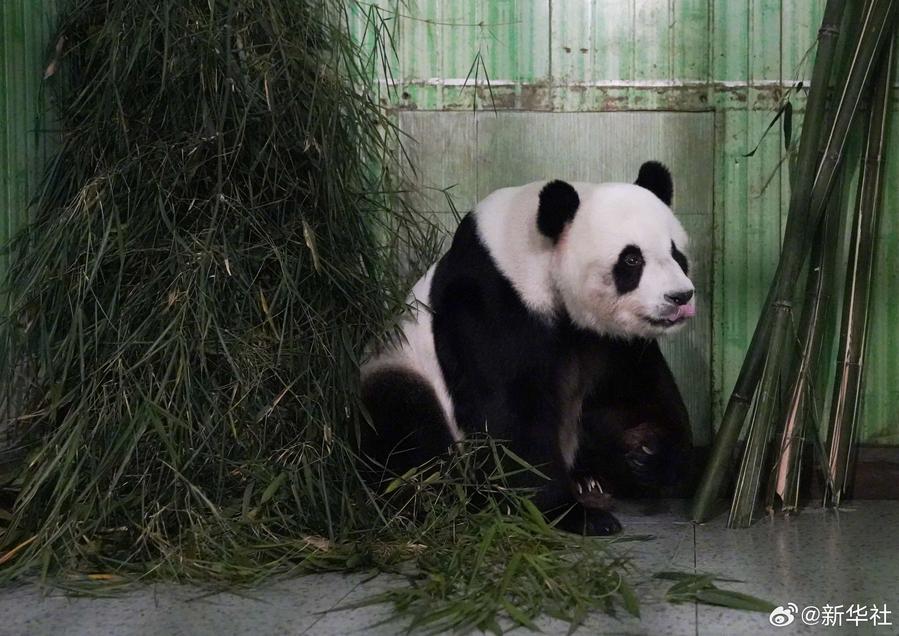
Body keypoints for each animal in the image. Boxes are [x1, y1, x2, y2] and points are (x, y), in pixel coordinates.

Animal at [360, 161, 694, 535]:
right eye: (632, 260)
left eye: (677, 254)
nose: (680, 297)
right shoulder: (491, 304)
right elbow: (512, 416)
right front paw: (570, 513)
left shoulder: (613, 341)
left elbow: (634, 391)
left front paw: (648, 451)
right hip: (396, 366)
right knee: (404, 423)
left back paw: (591, 481)